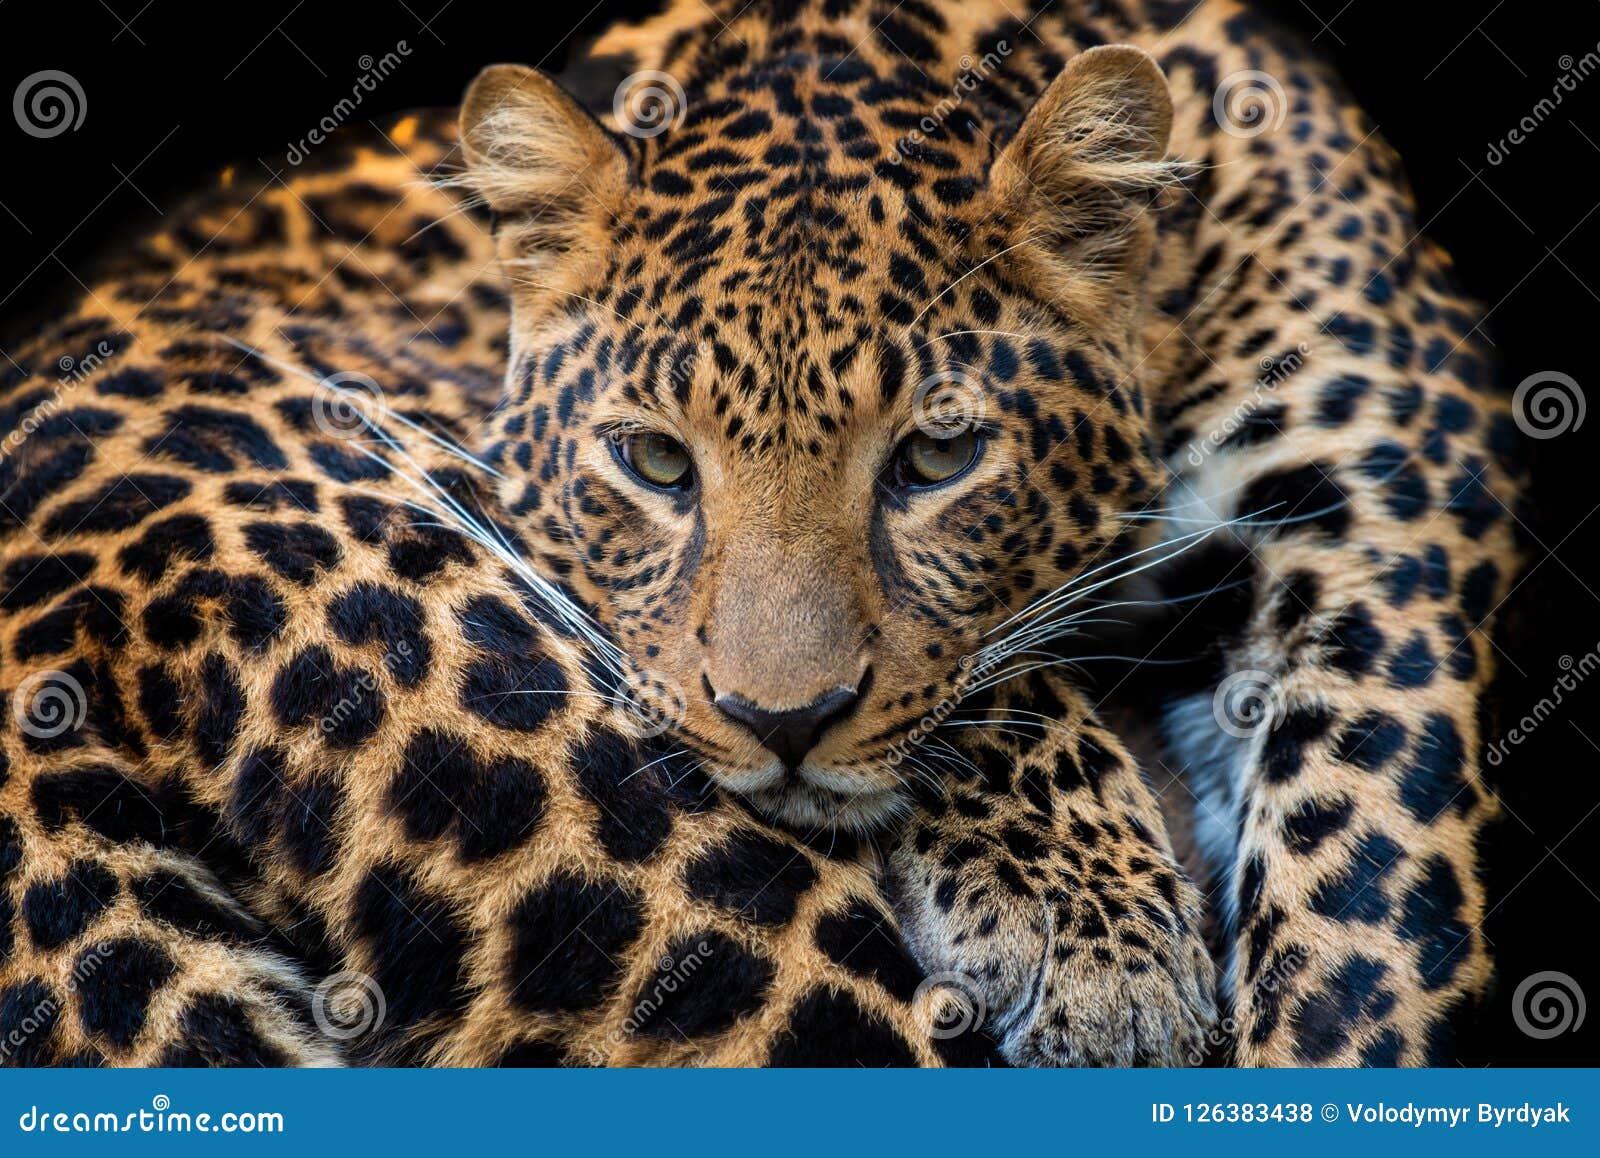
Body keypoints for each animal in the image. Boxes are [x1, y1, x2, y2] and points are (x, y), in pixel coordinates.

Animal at [0, 0, 1522, 1068]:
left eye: (938, 457)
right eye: (655, 462)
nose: (776, 721)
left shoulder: (1367, 554)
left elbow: (1359, 935)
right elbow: (1000, 686)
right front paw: (1096, 944)